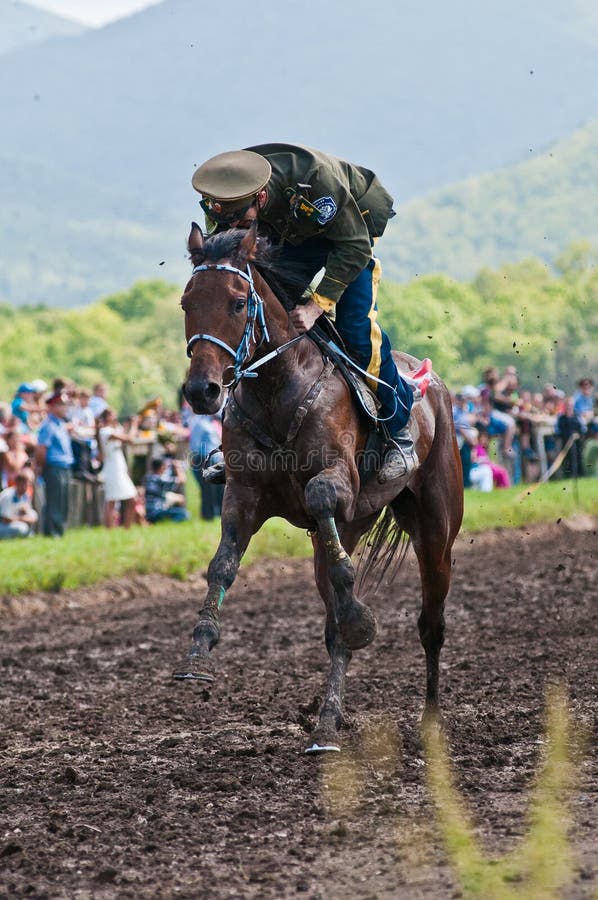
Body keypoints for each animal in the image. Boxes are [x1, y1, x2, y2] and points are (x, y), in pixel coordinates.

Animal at [175, 222, 463, 753]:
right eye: (188, 301)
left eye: (238, 302)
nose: (201, 391)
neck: (276, 388)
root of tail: (432, 384)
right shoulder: (243, 493)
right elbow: (222, 564)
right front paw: (199, 649)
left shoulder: (338, 483)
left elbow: (321, 499)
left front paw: (360, 619)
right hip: (342, 535)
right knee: (334, 615)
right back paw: (328, 719)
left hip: (435, 530)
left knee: (430, 624)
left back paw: (429, 721)